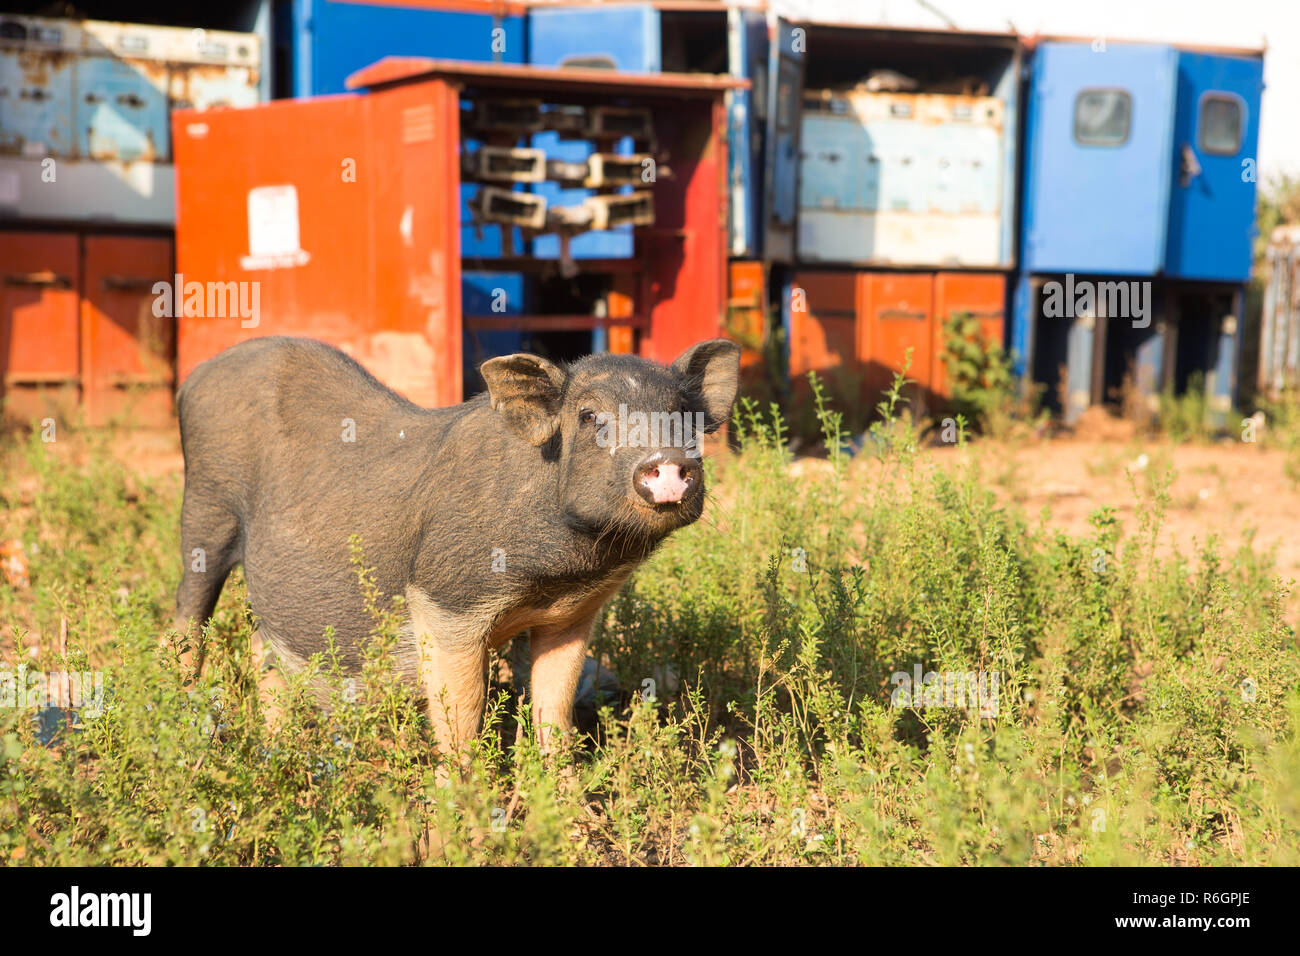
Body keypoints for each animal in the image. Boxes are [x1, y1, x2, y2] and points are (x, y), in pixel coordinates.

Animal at [174, 335, 739, 753]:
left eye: (682, 415)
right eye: (588, 416)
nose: (667, 461)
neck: (563, 572)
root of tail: (196, 376)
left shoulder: (571, 616)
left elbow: (554, 714)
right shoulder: (445, 599)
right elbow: (461, 721)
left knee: (259, 648)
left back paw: (277, 743)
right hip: (205, 508)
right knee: (187, 621)